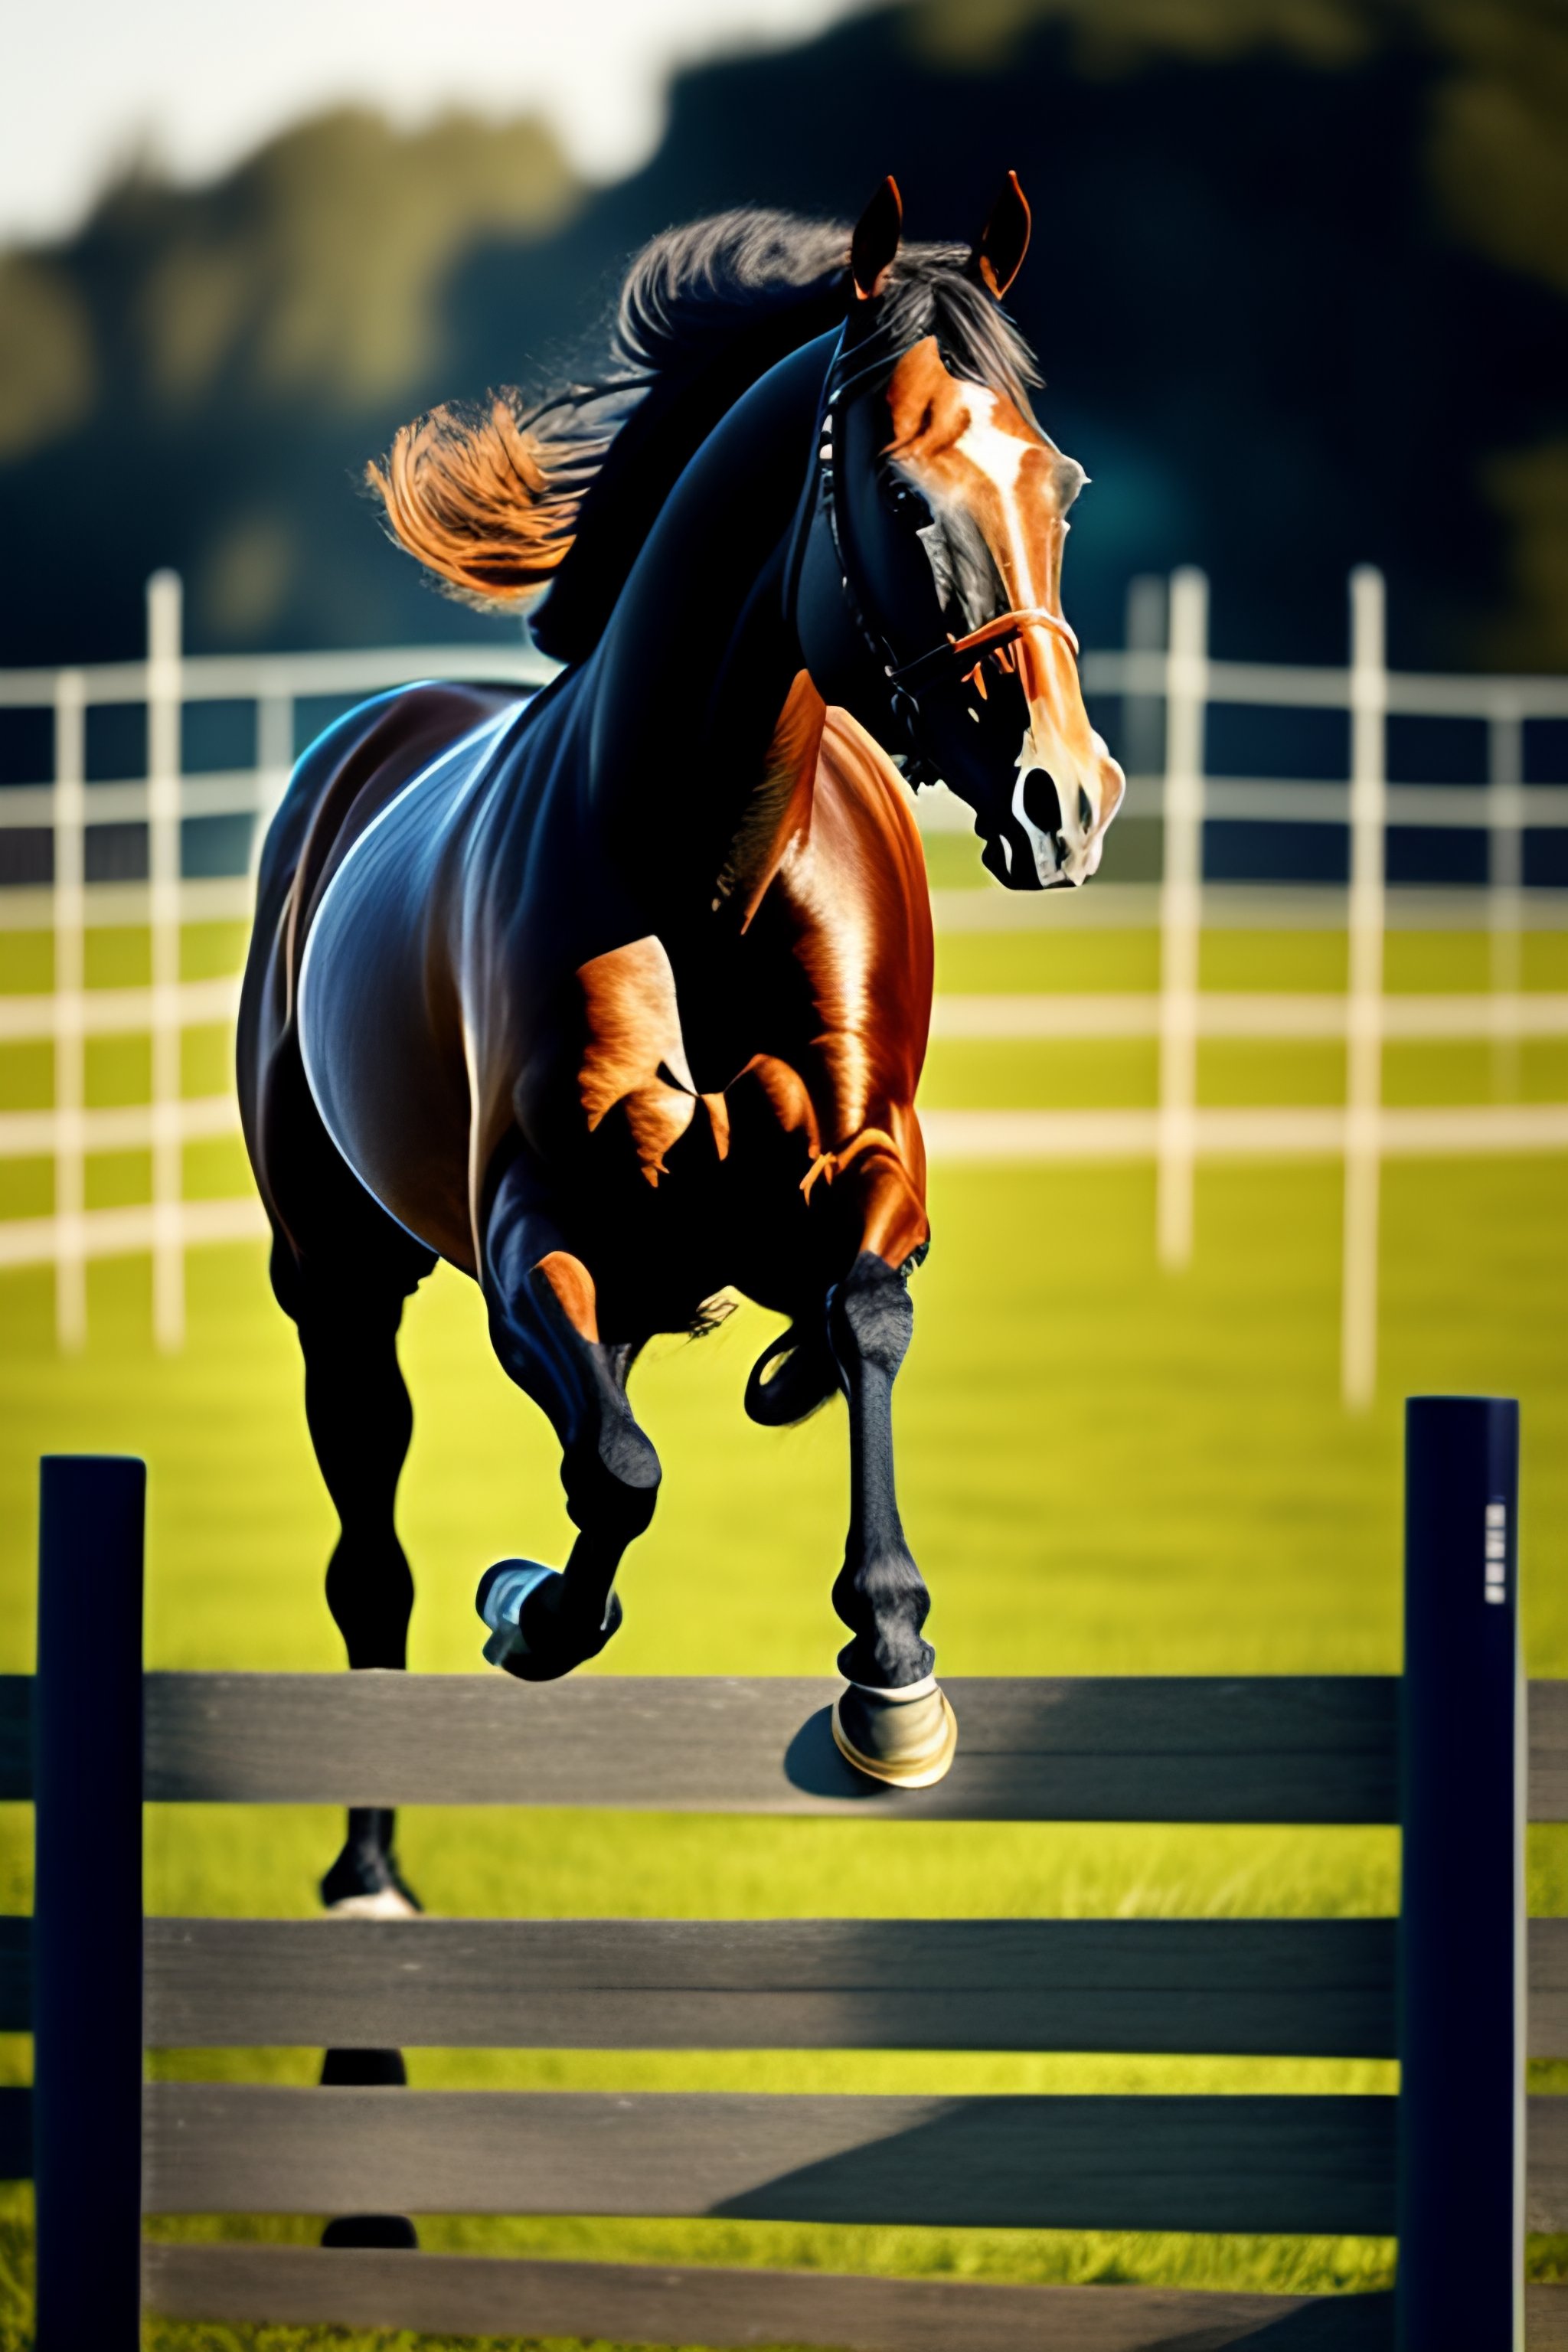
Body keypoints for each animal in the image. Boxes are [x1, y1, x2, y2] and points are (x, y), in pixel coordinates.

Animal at [238, 173, 1125, 1916]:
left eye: (1057, 482)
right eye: (906, 494)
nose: (1063, 801)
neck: (701, 866)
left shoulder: (867, 1165)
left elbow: (860, 1320)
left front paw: (891, 1675)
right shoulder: (535, 1233)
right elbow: (615, 1480)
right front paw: (526, 1605)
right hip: (338, 1287)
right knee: (372, 1565)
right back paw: (369, 1870)